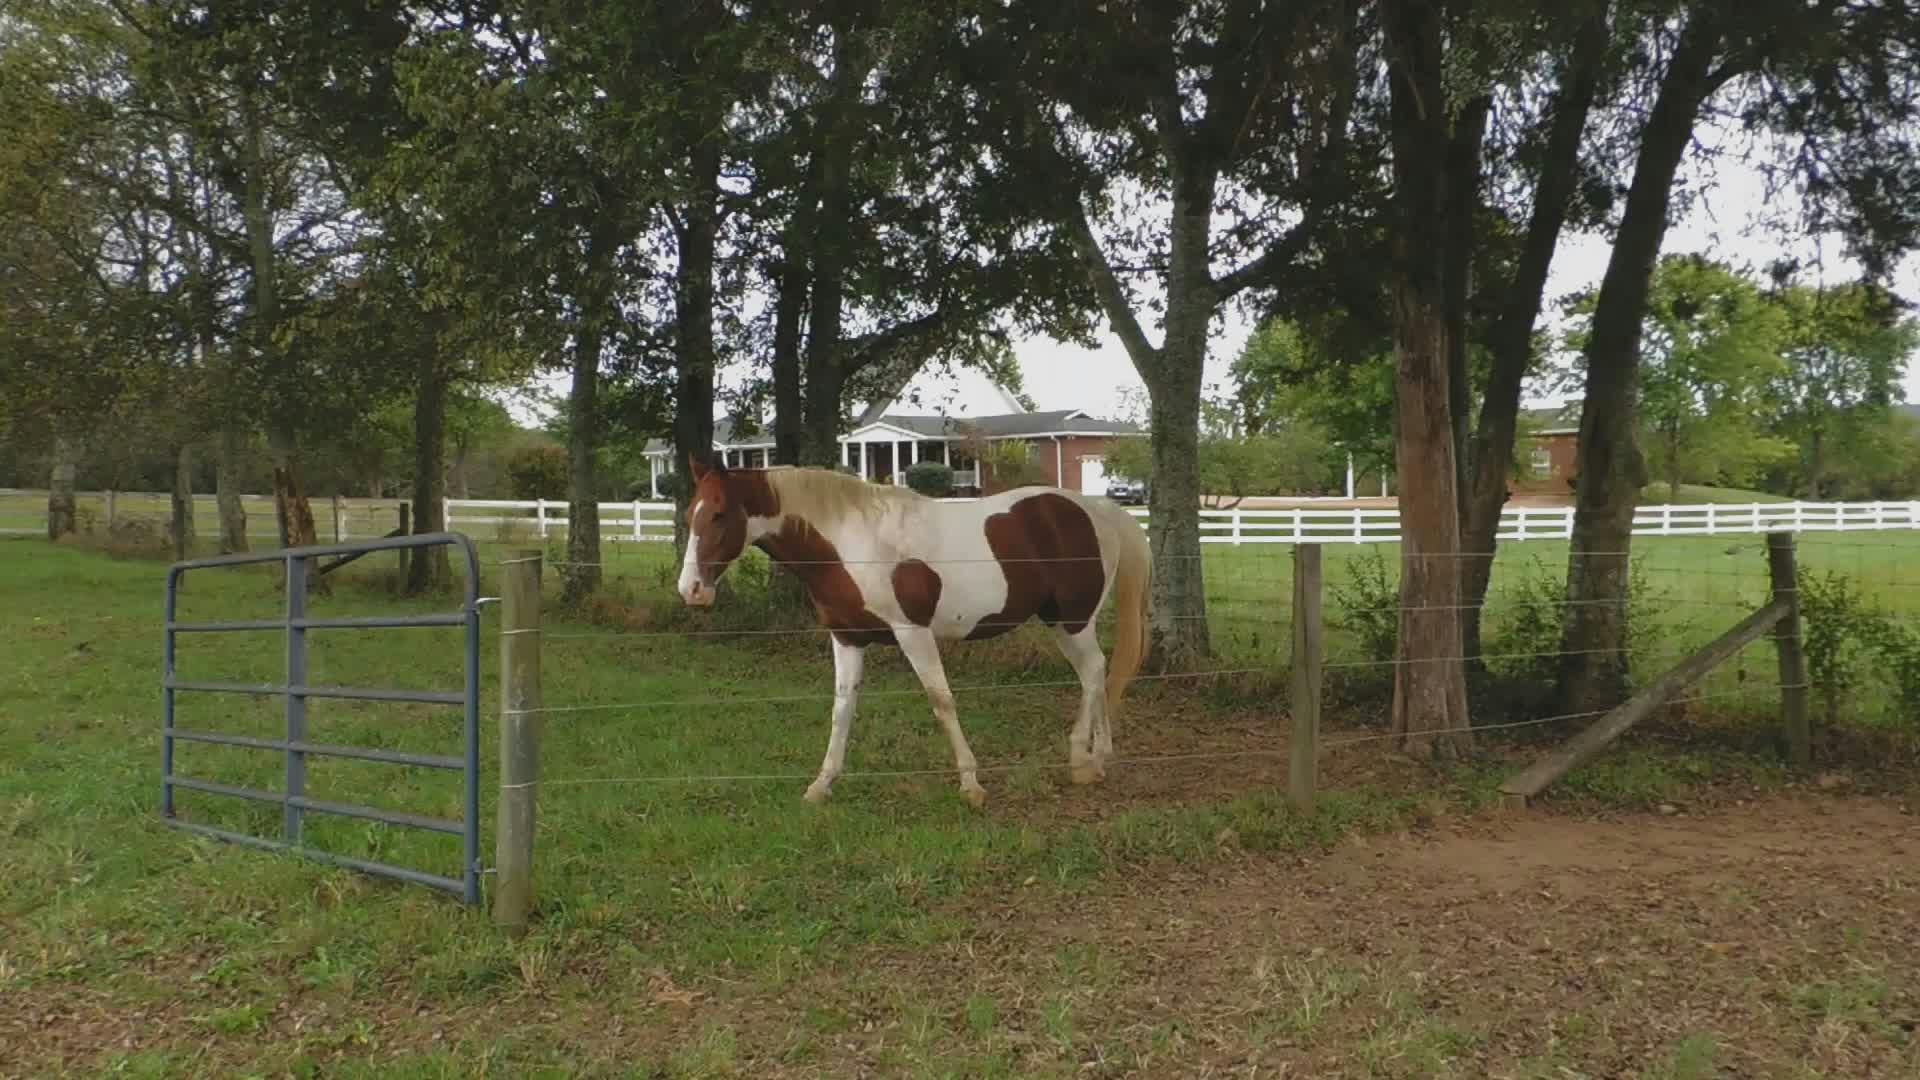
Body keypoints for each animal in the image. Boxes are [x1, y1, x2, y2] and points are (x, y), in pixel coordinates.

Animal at [676, 458, 1152, 807]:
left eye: (719, 514)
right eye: (690, 513)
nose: (691, 590)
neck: (848, 542)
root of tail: (1097, 510)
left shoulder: (912, 633)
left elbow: (942, 701)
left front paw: (971, 784)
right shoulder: (847, 638)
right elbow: (842, 709)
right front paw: (821, 784)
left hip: (1074, 621)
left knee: (1095, 672)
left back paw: (1082, 761)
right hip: (1061, 623)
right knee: (1097, 674)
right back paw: (1099, 756)